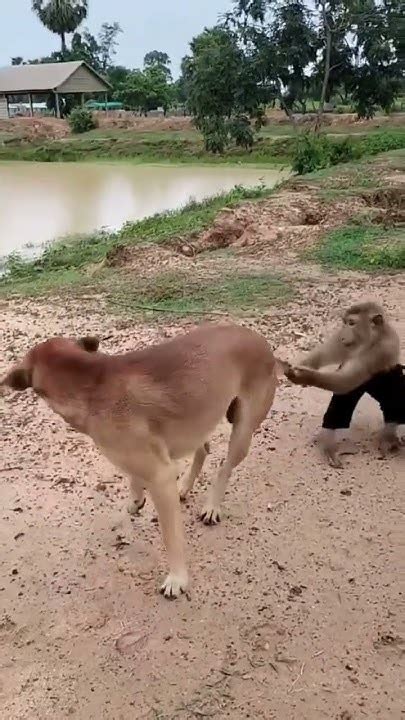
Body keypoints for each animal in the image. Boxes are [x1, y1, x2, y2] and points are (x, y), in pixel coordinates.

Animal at [284, 301, 404, 467]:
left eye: (352, 323)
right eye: (345, 323)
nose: (344, 333)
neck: (372, 339)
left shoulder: (379, 353)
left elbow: (347, 381)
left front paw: (305, 376)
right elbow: (327, 353)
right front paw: (303, 365)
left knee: (393, 406)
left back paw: (388, 439)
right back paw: (328, 444)